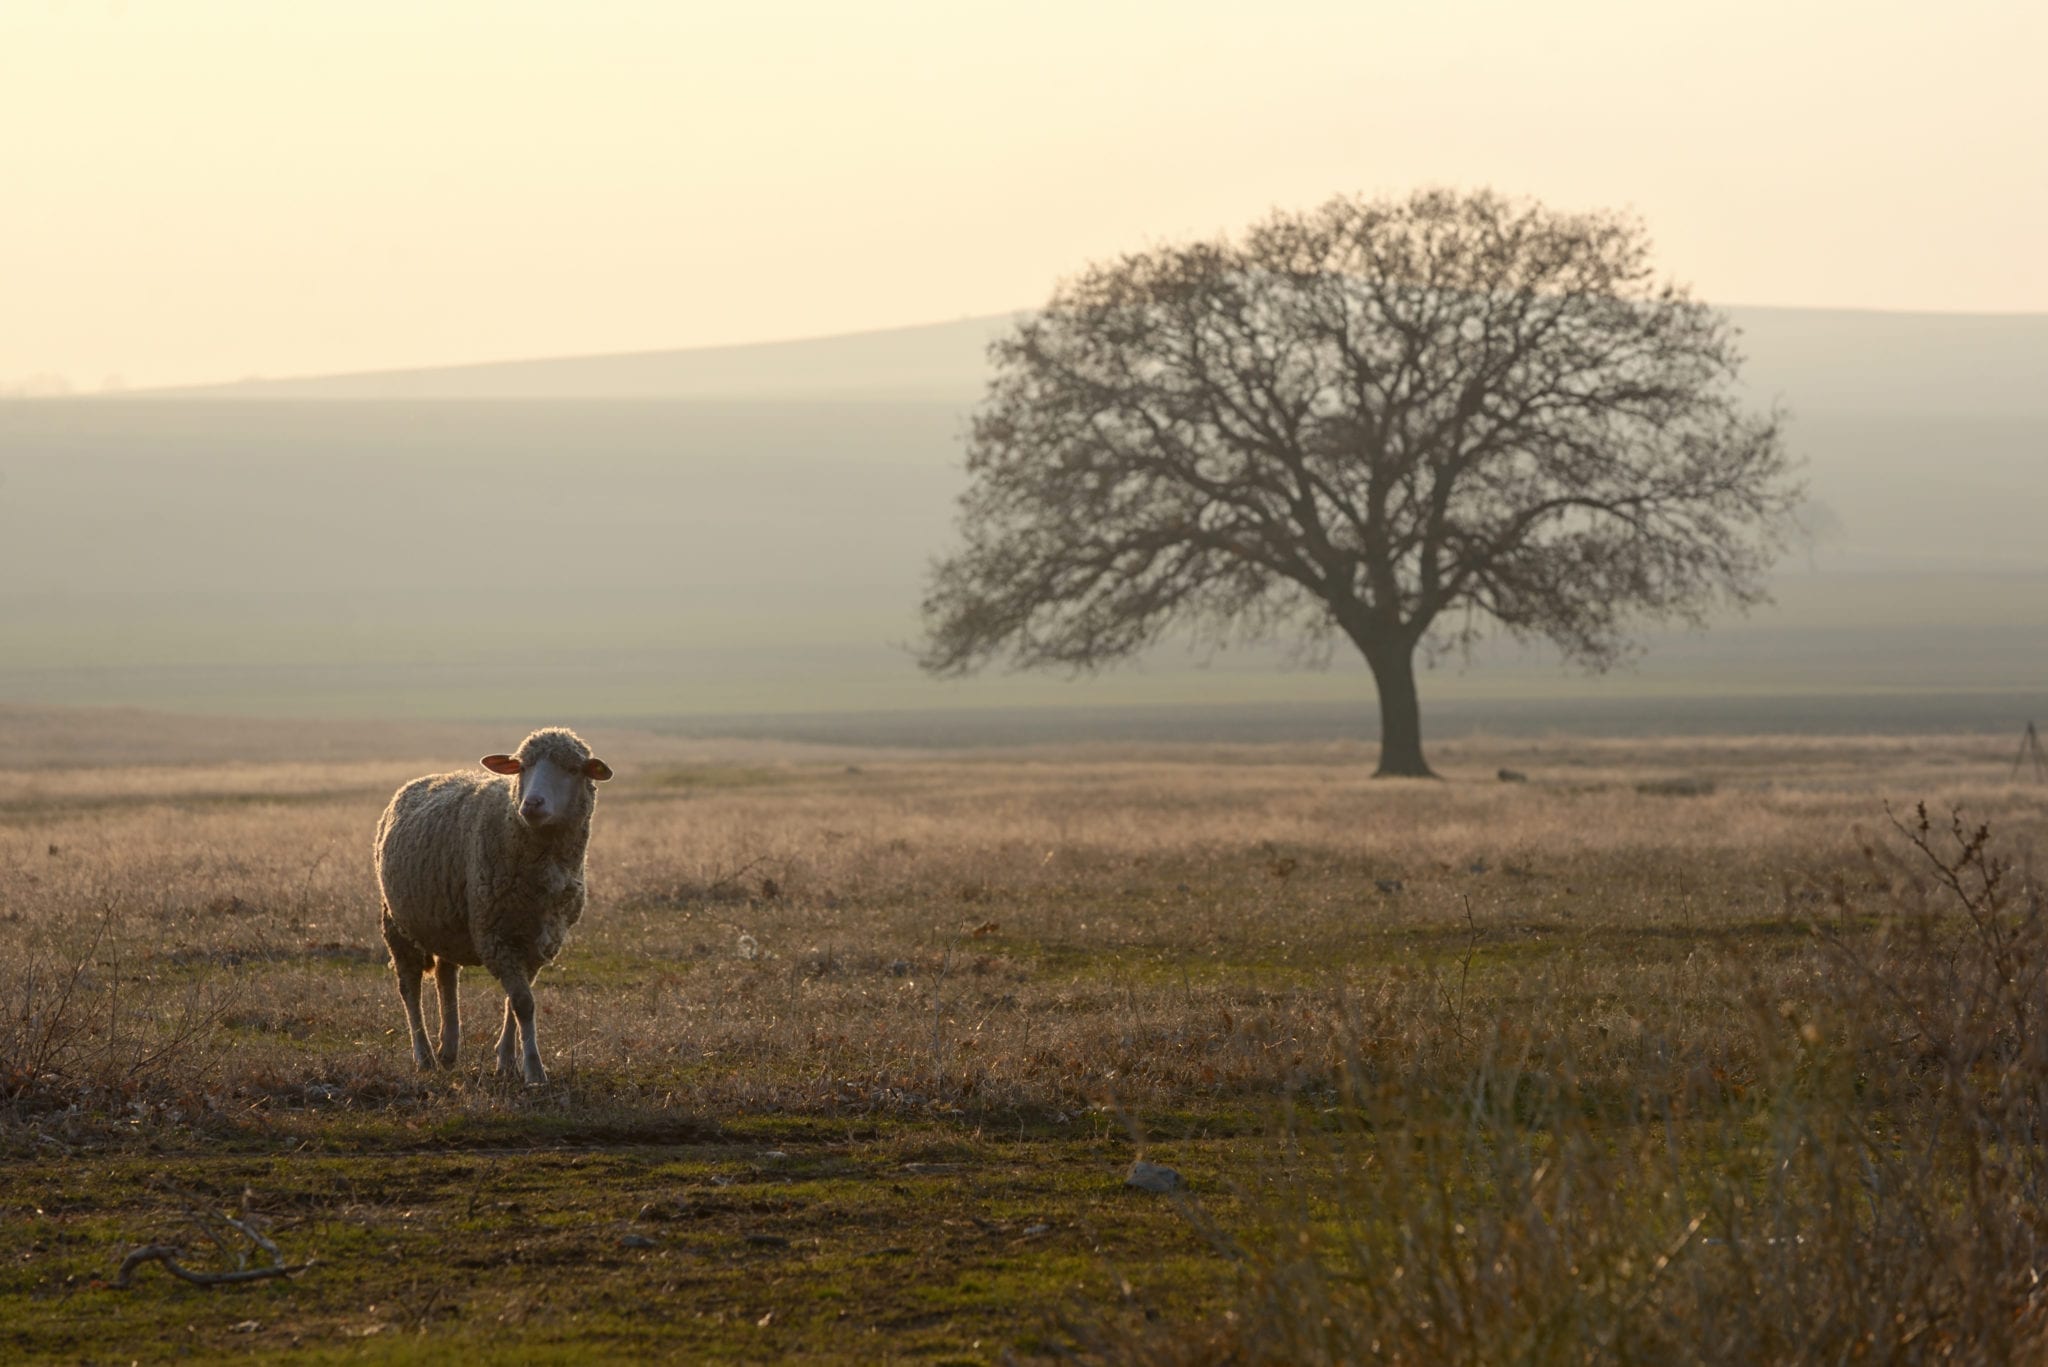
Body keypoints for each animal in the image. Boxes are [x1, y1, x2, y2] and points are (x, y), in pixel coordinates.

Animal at [374, 727, 613, 1084]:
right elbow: (523, 1002)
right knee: (410, 987)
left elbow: (514, 1002)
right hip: (397, 923)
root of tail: (419, 780)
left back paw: (449, 1049)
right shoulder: (496, 935)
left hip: (447, 920)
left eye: (573, 769)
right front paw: (534, 1069)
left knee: (446, 976)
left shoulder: (536, 940)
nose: (532, 804)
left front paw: (507, 1060)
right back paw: (425, 1055)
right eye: (522, 767)